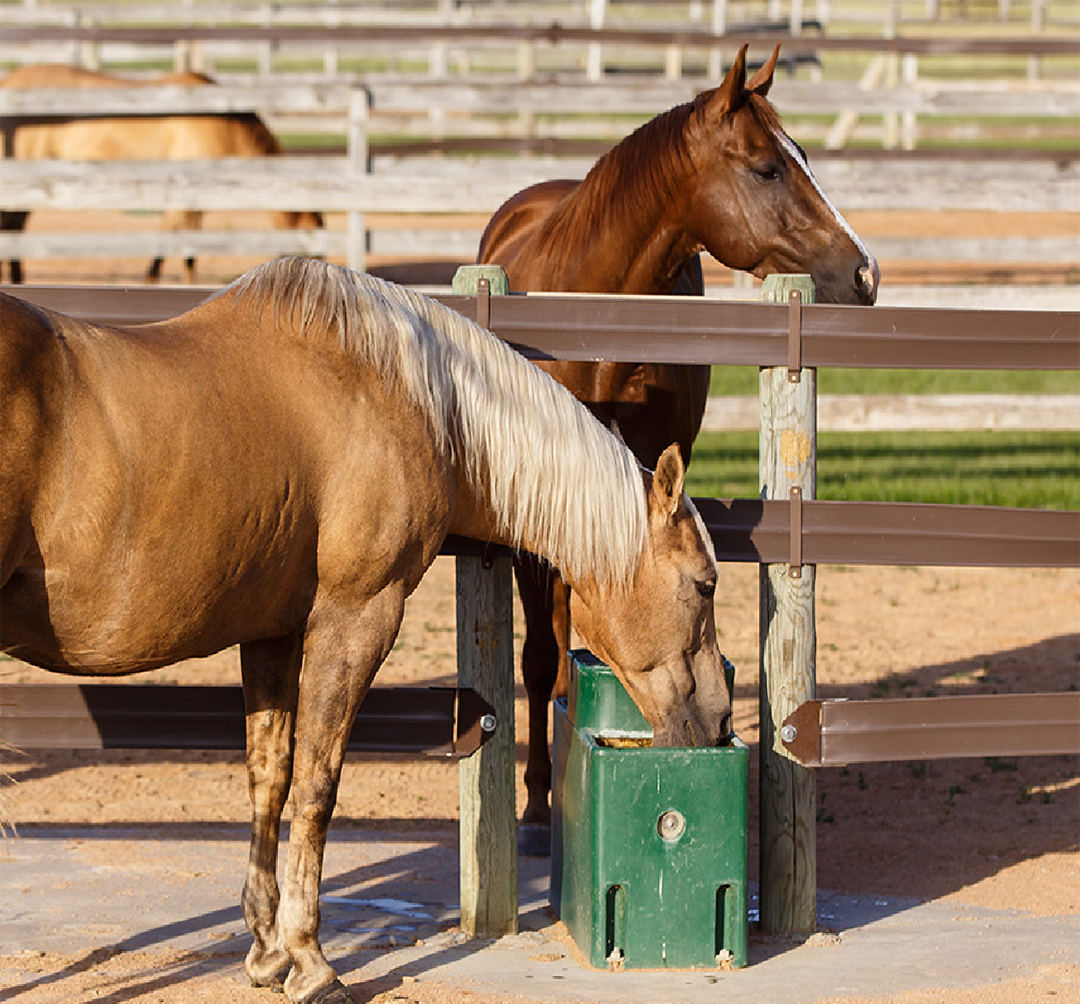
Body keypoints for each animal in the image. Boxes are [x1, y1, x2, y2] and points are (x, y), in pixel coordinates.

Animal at [0, 256, 730, 1003]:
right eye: (705, 584)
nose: (719, 716)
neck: (412, 397)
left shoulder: (271, 632)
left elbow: (270, 775)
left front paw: (267, 951)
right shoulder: (356, 620)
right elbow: (318, 785)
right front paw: (311, 961)